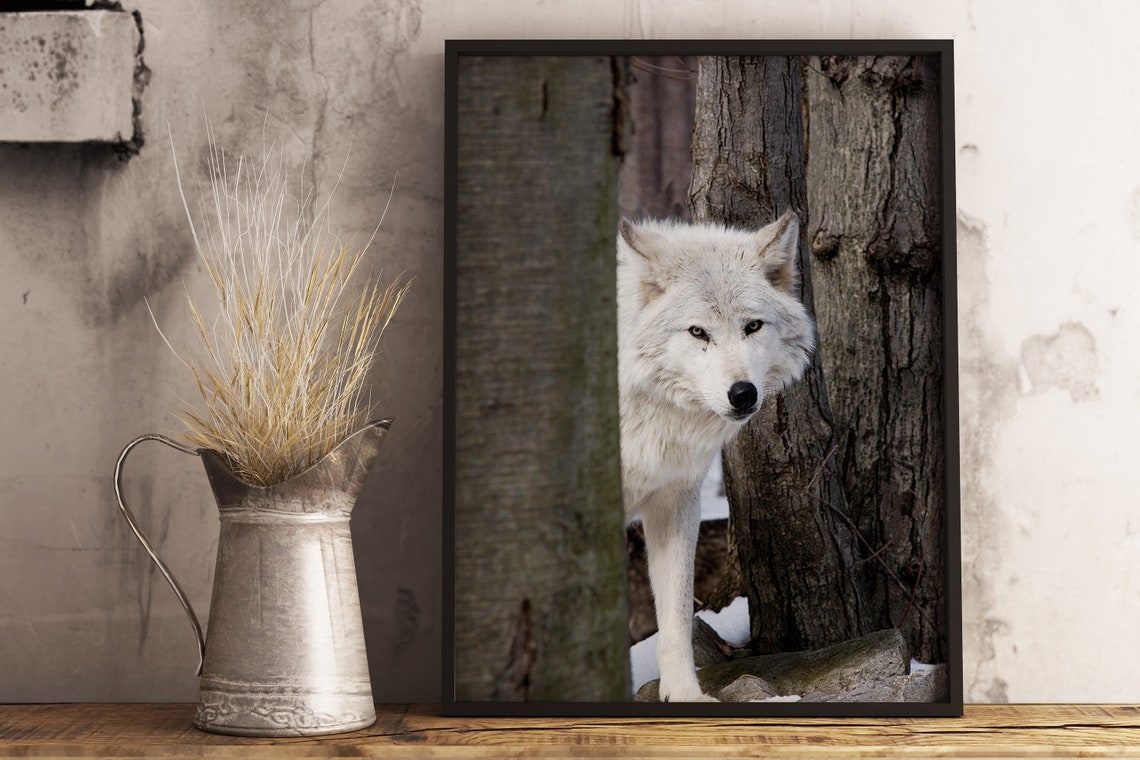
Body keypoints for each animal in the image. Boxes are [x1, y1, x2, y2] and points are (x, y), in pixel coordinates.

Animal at [617, 211, 815, 701]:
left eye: (753, 326)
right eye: (697, 332)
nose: (742, 394)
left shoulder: (675, 501)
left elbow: (674, 618)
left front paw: (684, 695)